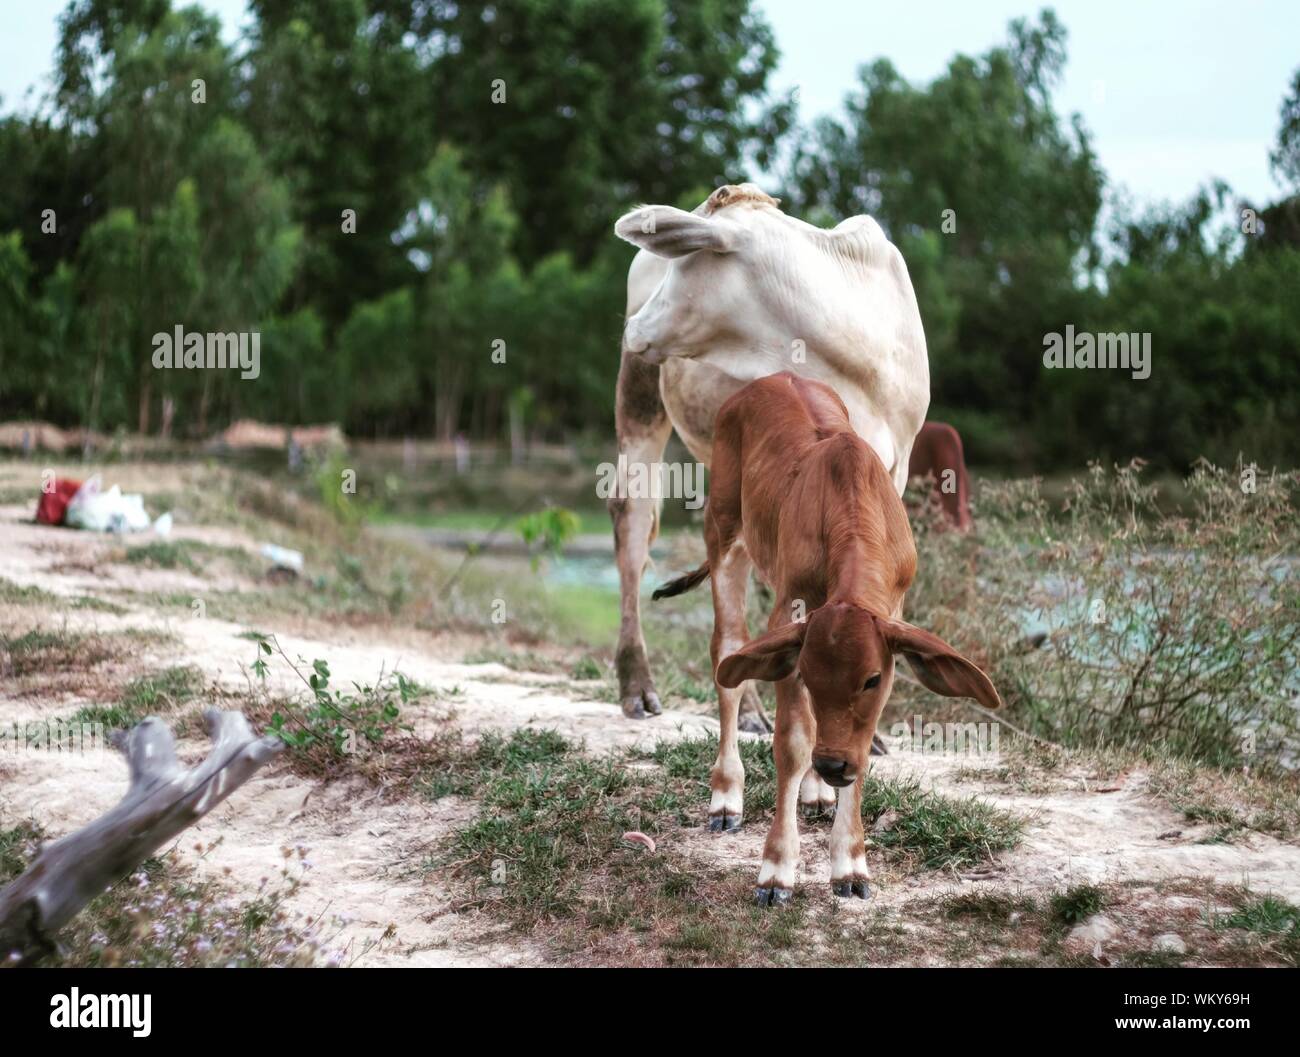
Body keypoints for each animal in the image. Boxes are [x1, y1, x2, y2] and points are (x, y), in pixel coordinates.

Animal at [609, 184, 930, 730]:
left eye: (681, 262)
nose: (631, 324)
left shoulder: (895, 469)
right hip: (640, 400)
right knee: (633, 523)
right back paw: (640, 685)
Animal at [656, 373, 1002, 905]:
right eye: (809, 671)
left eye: (872, 679)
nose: (833, 766)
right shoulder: (788, 614)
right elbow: (793, 743)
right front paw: (776, 869)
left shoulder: (893, 618)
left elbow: (863, 740)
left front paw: (851, 864)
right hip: (724, 537)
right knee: (728, 653)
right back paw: (727, 795)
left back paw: (816, 794)